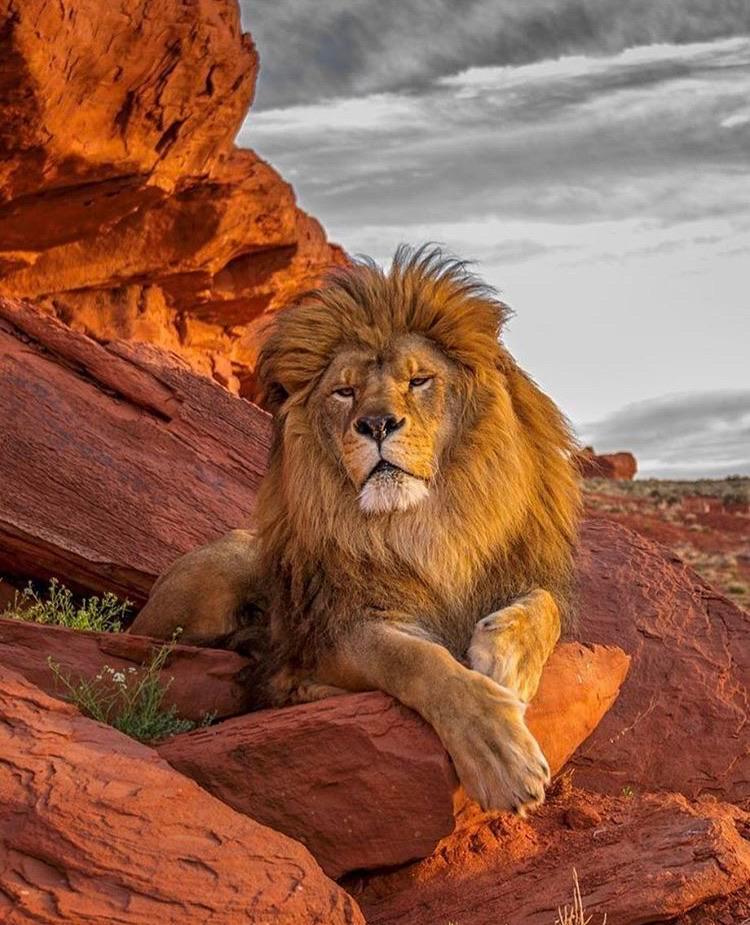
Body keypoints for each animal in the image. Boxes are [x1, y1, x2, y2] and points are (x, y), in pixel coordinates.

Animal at [131, 246, 581, 814]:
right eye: (345, 392)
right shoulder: (340, 625)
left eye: (419, 380)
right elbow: (417, 661)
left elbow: (545, 608)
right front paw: (502, 756)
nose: (377, 424)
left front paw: (506, 661)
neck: (427, 526)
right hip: (214, 578)